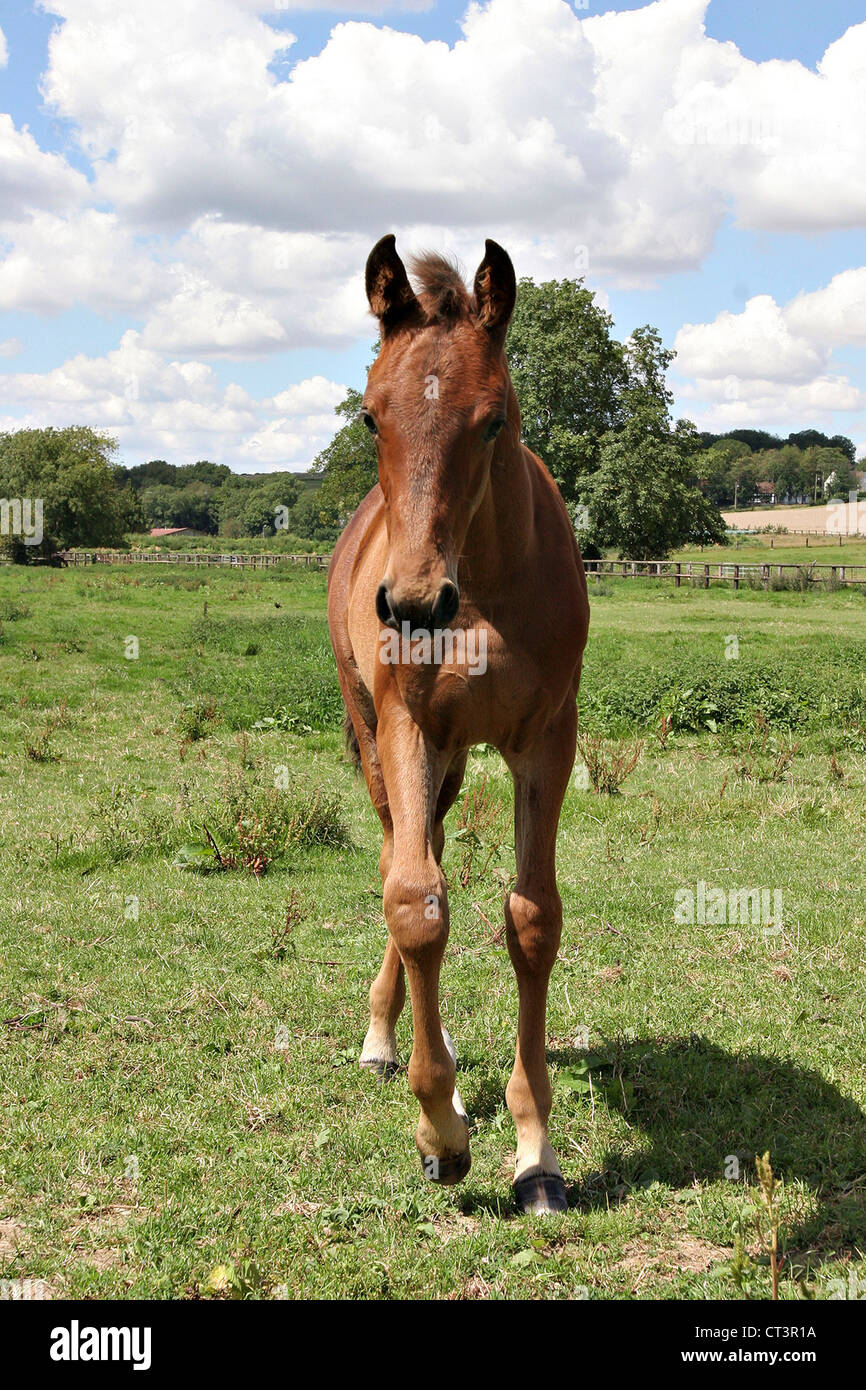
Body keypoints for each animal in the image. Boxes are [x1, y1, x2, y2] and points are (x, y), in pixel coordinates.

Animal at [327, 235, 589, 1214]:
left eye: (493, 420)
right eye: (372, 419)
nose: (410, 603)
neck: (477, 586)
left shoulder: (547, 737)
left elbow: (532, 919)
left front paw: (534, 1152)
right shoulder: (408, 726)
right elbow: (415, 902)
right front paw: (440, 1133)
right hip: (383, 742)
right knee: (403, 863)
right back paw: (384, 1041)